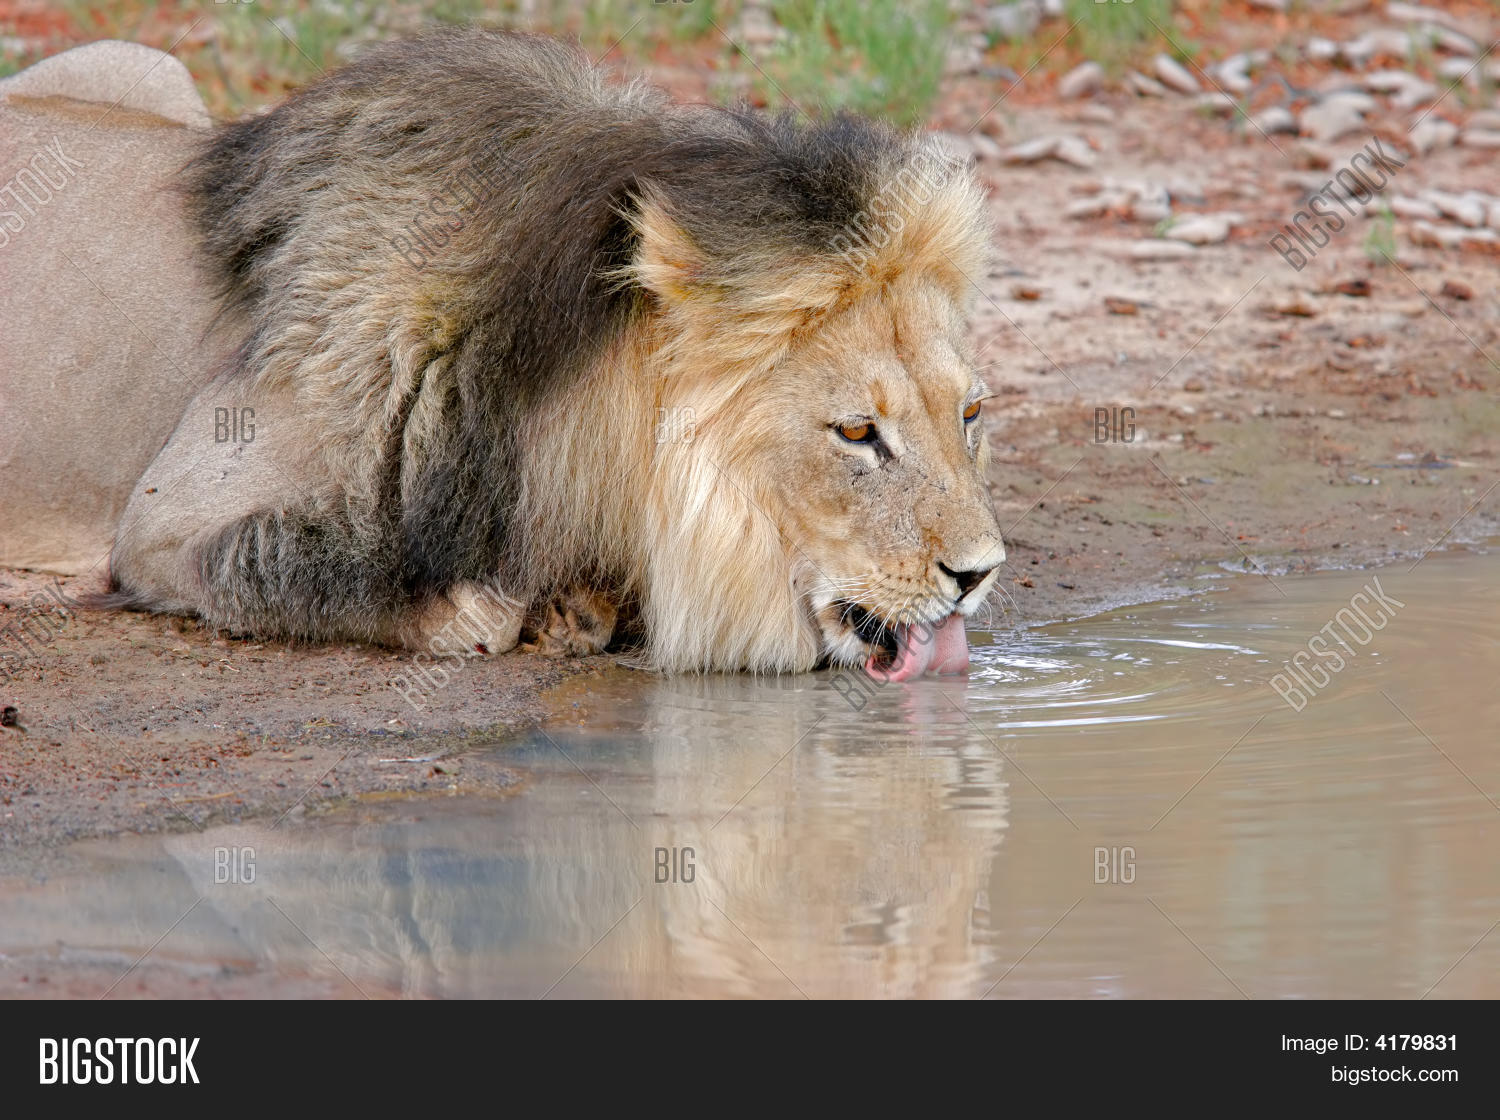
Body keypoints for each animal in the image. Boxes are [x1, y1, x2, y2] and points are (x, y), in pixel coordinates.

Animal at [103, 29, 1005, 679]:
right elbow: (449, 609)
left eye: (970, 414)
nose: (980, 574)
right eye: (856, 434)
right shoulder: (164, 519)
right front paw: (541, 613)